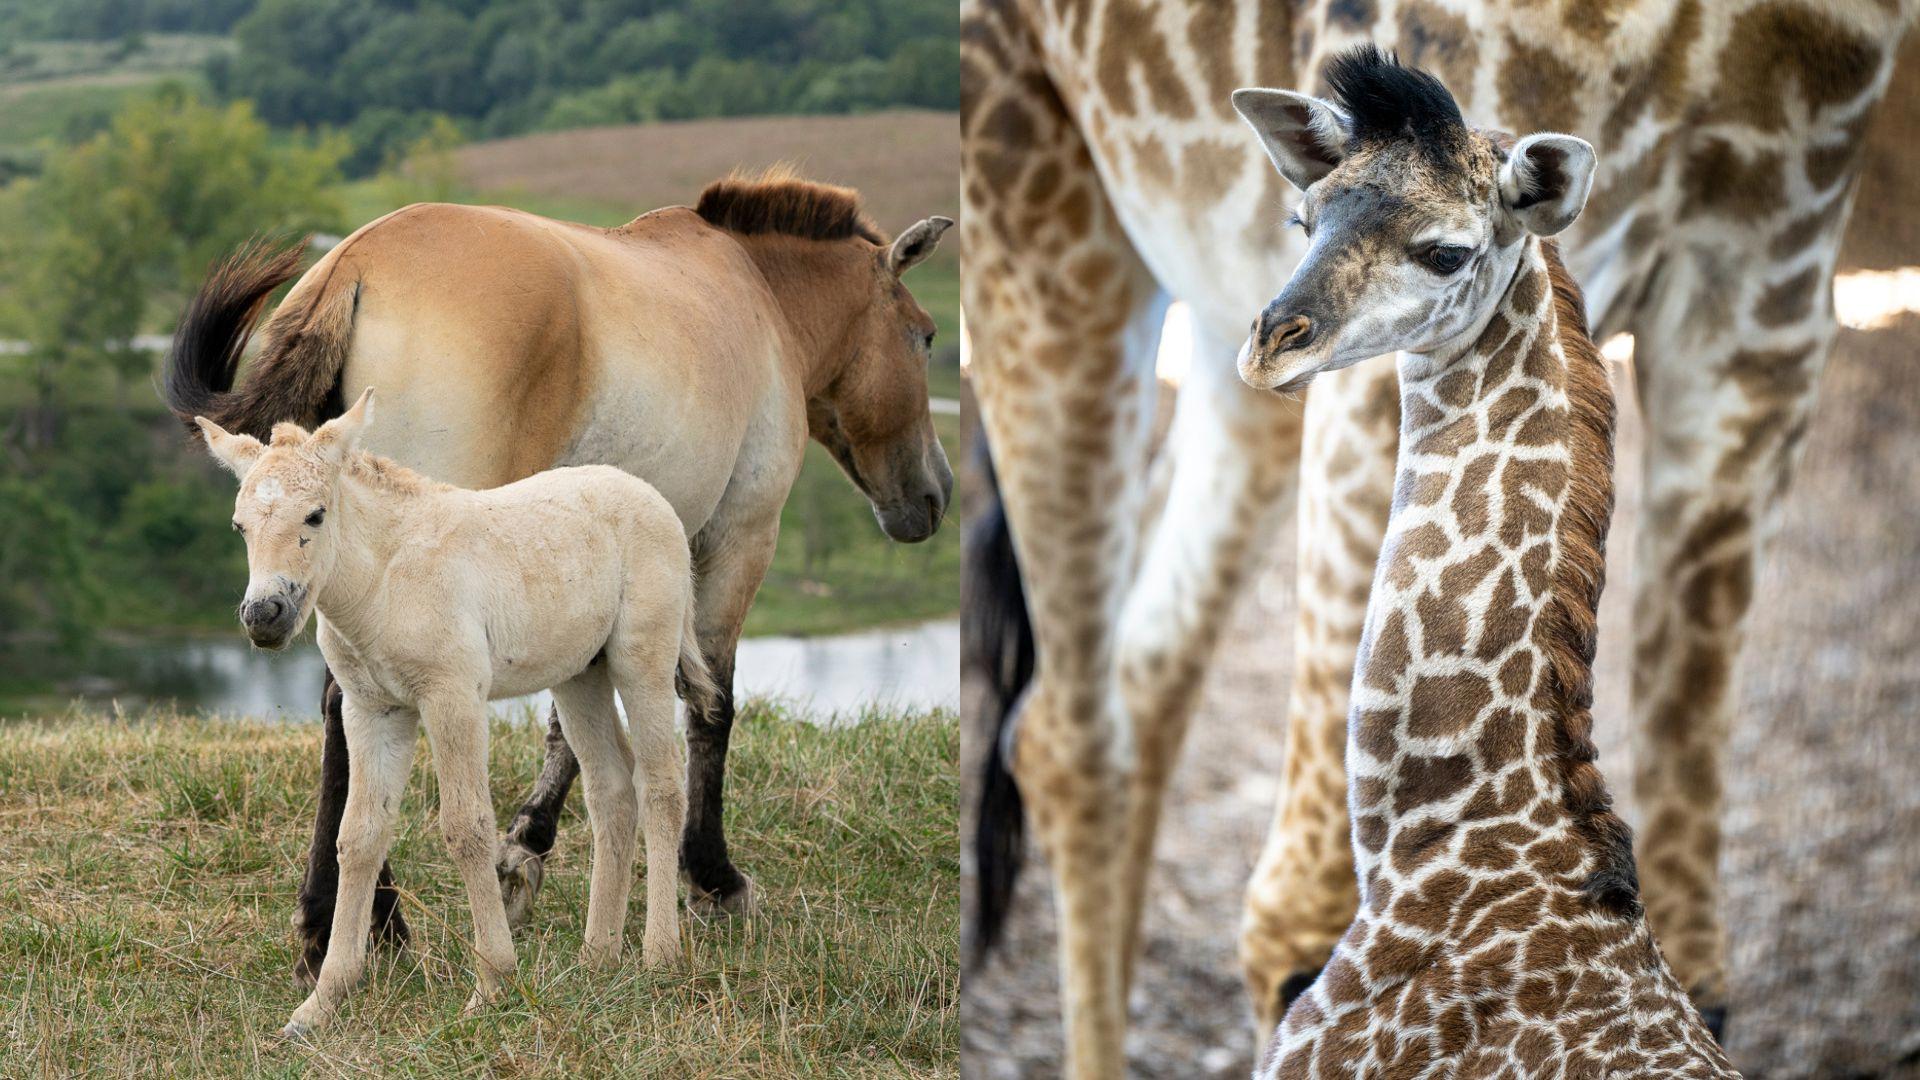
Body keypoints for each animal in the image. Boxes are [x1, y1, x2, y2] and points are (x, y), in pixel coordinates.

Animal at [198, 389, 714, 1037]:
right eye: (239, 525)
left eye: (315, 515)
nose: (264, 615)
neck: (385, 580)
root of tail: (653, 499)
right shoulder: (374, 710)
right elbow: (359, 835)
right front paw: (322, 1002)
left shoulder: (453, 698)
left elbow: (467, 828)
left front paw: (494, 983)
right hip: (580, 674)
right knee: (611, 788)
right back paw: (598, 956)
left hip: (642, 654)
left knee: (661, 785)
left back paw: (658, 956)